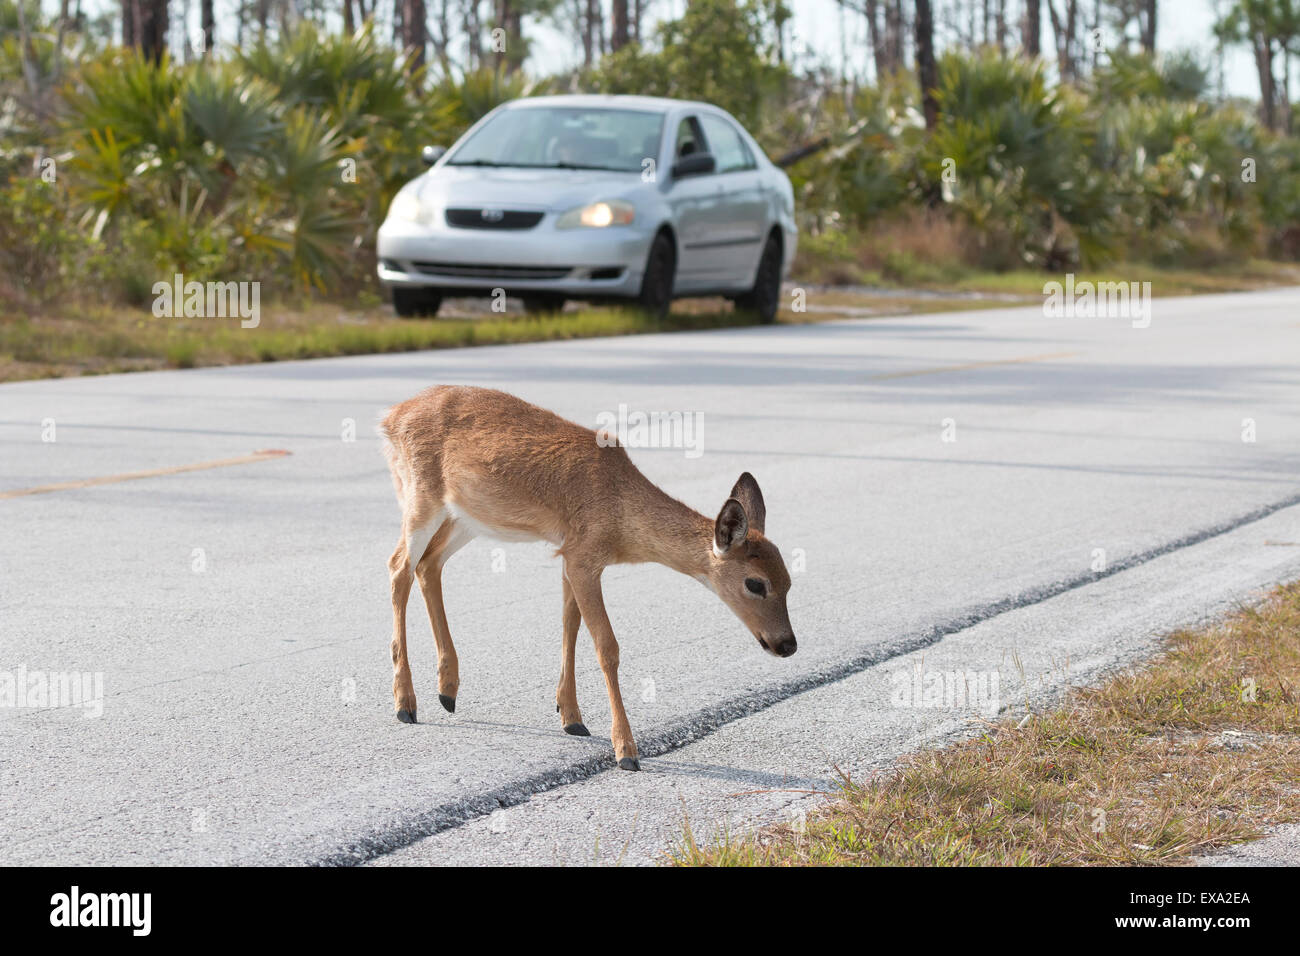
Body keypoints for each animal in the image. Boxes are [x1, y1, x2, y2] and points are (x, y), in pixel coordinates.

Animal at [379, 385, 797, 771]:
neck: (622, 523)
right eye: (755, 583)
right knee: (399, 566)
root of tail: (390, 417)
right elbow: (606, 646)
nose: (787, 644)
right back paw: (405, 703)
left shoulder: (573, 554)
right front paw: (626, 750)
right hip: (421, 496)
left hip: (467, 516)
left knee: (428, 565)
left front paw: (571, 717)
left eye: (790, 581)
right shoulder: (583, 556)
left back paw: (447, 690)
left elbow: (570, 626)